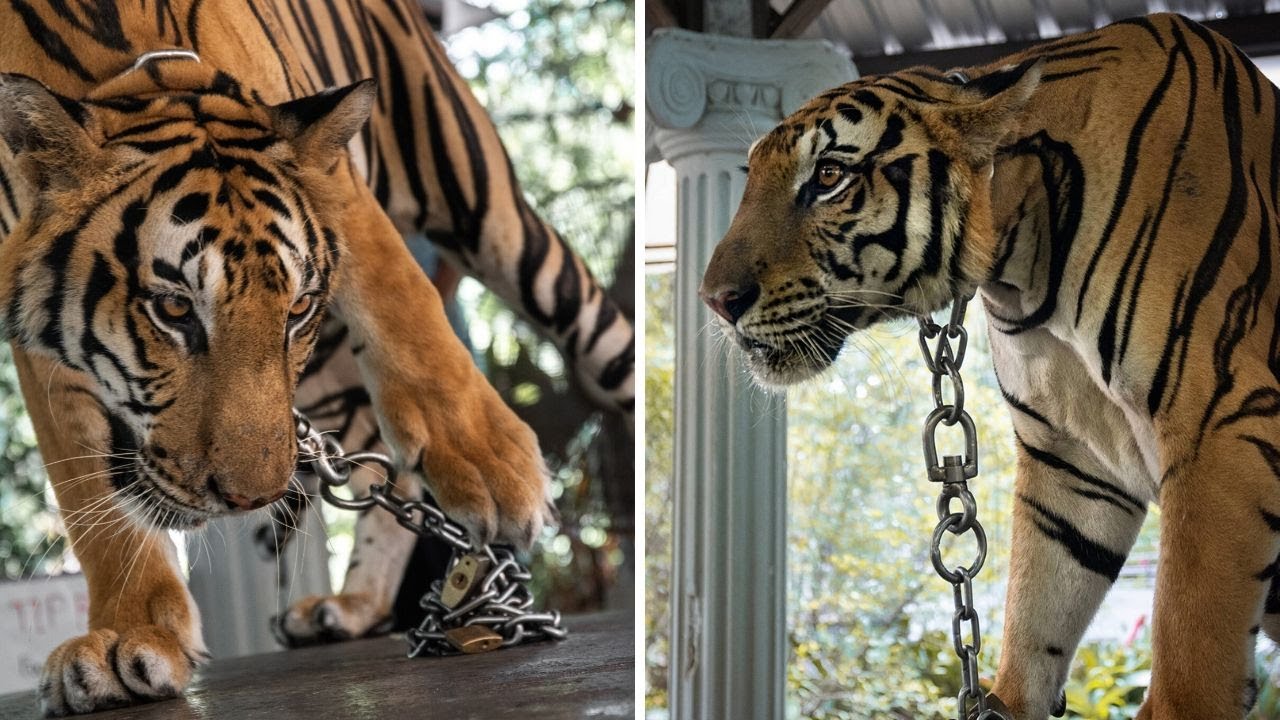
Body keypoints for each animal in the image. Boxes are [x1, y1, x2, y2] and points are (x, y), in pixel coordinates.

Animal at [0, 0, 634, 716]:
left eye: (298, 307)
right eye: (174, 309)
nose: (251, 499)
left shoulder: (340, 186)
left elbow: (401, 296)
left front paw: (494, 469)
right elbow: (87, 487)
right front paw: (126, 634)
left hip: (499, 226)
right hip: (323, 381)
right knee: (384, 465)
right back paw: (354, 604)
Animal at [702, 12, 1280, 720]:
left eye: (830, 176)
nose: (715, 300)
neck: (1024, 266)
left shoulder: (1219, 422)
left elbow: (1189, 656)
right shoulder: (1071, 459)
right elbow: (1038, 607)